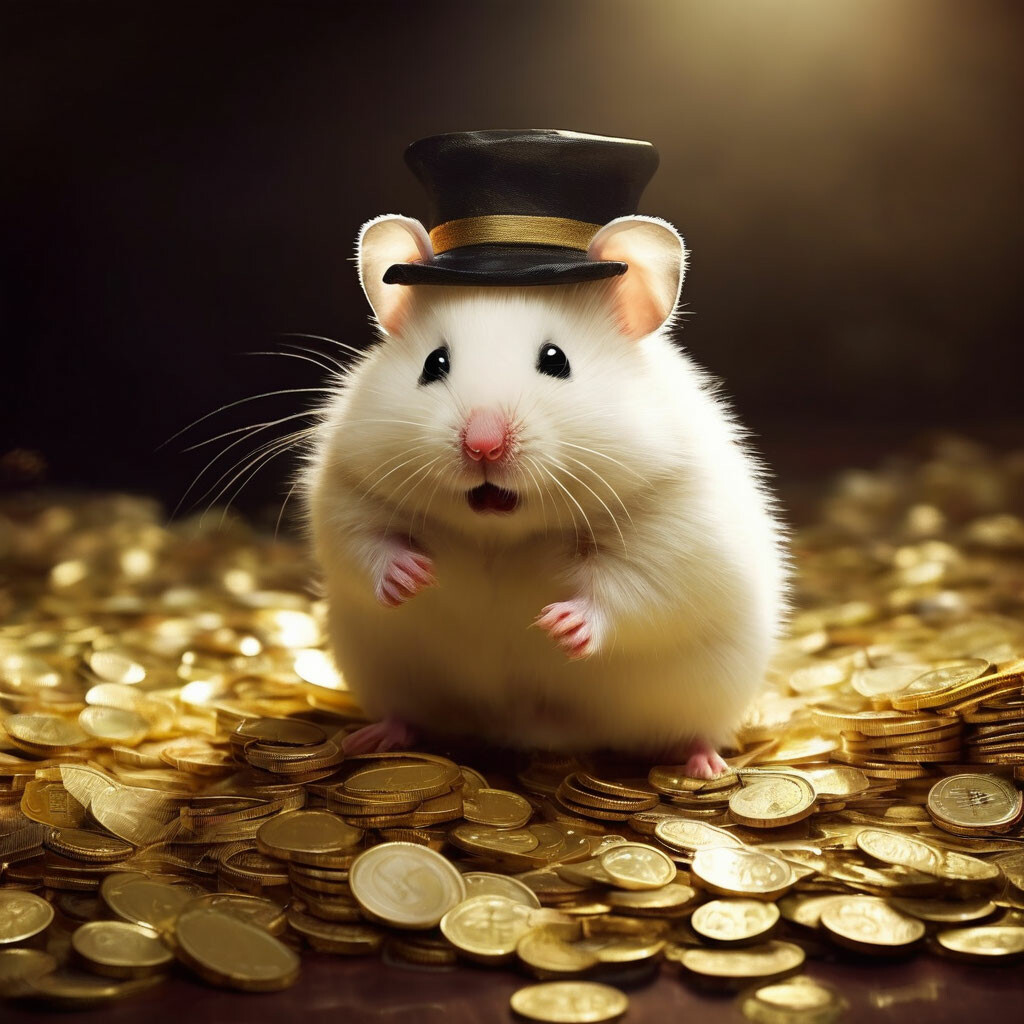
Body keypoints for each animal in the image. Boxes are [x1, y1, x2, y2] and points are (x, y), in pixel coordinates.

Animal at [300, 212, 789, 778]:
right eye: (434, 363)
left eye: (556, 360)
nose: (482, 445)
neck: (501, 533)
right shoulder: (345, 490)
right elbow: (362, 546)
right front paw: (413, 577)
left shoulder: (678, 533)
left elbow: (634, 590)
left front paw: (559, 624)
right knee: (406, 715)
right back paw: (372, 737)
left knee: (694, 732)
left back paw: (705, 766)